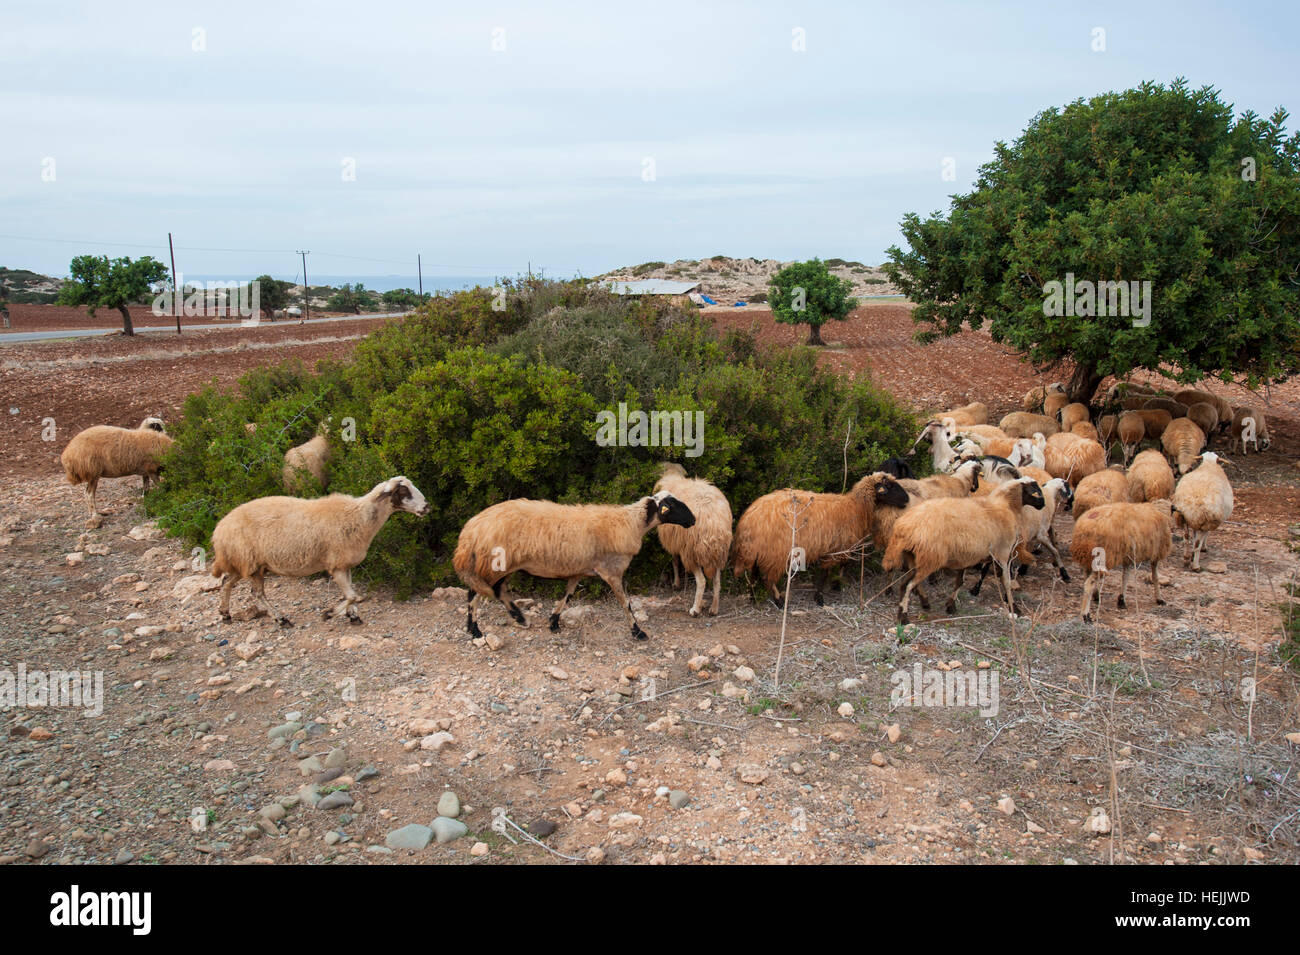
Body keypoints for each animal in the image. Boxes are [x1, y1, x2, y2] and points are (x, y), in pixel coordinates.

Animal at [212, 476, 428, 626]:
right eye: (403, 491)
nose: (426, 507)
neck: (359, 516)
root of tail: (219, 530)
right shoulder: (336, 564)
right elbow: (353, 595)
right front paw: (329, 614)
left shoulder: (345, 564)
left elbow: (352, 594)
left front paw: (353, 616)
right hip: (249, 562)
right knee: (256, 594)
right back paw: (281, 619)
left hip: (246, 562)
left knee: (226, 582)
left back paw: (225, 613)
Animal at [455, 490, 696, 641]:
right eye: (673, 505)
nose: (693, 520)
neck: (632, 523)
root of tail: (471, 530)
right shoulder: (612, 571)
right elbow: (626, 603)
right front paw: (638, 633)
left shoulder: (579, 570)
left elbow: (567, 596)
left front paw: (553, 623)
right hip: (494, 564)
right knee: (475, 593)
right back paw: (475, 630)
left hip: (502, 566)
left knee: (497, 590)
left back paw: (519, 617)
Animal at [653, 464, 733, 617]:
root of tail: (712, 524)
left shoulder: (677, 542)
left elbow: (675, 560)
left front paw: (676, 583)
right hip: (719, 553)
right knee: (717, 581)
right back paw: (714, 608)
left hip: (691, 551)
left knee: (701, 581)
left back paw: (695, 609)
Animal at [733, 473, 910, 608]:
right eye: (890, 487)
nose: (907, 500)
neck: (856, 507)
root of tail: (748, 520)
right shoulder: (834, 548)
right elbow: (825, 573)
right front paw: (819, 598)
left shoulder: (838, 547)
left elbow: (841, 566)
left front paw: (836, 585)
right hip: (775, 552)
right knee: (767, 579)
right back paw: (779, 602)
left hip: (759, 550)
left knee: (754, 574)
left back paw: (753, 599)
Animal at [882, 478, 1045, 623]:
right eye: (1035, 491)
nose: (1042, 504)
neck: (1006, 506)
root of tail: (905, 527)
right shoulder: (1003, 554)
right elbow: (1006, 582)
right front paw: (1014, 607)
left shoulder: (967, 557)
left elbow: (959, 582)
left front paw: (951, 606)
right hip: (930, 559)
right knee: (908, 585)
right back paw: (903, 617)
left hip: (914, 557)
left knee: (910, 583)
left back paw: (920, 604)